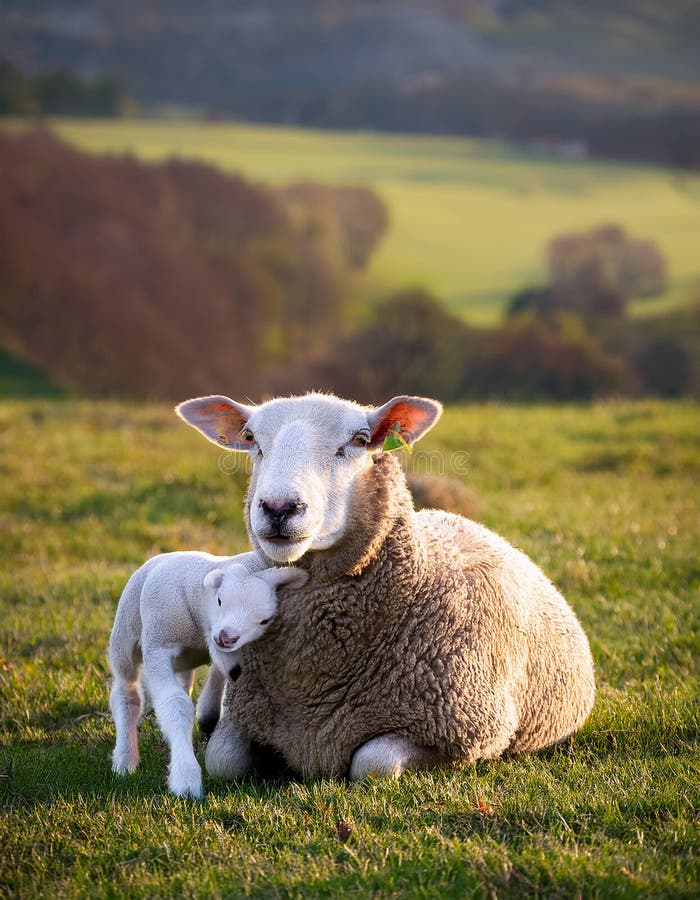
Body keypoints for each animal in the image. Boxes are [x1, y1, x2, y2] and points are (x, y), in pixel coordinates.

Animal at [109, 550, 308, 797]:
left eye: (264, 620)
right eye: (220, 600)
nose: (226, 637)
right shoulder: (158, 646)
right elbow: (176, 704)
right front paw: (186, 778)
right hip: (125, 633)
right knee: (127, 692)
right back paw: (125, 759)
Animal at [175, 393, 596, 780]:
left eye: (360, 440)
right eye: (251, 439)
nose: (279, 508)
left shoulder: (466, 729)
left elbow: (371, 763)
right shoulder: (247, 714)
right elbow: (222, 761)